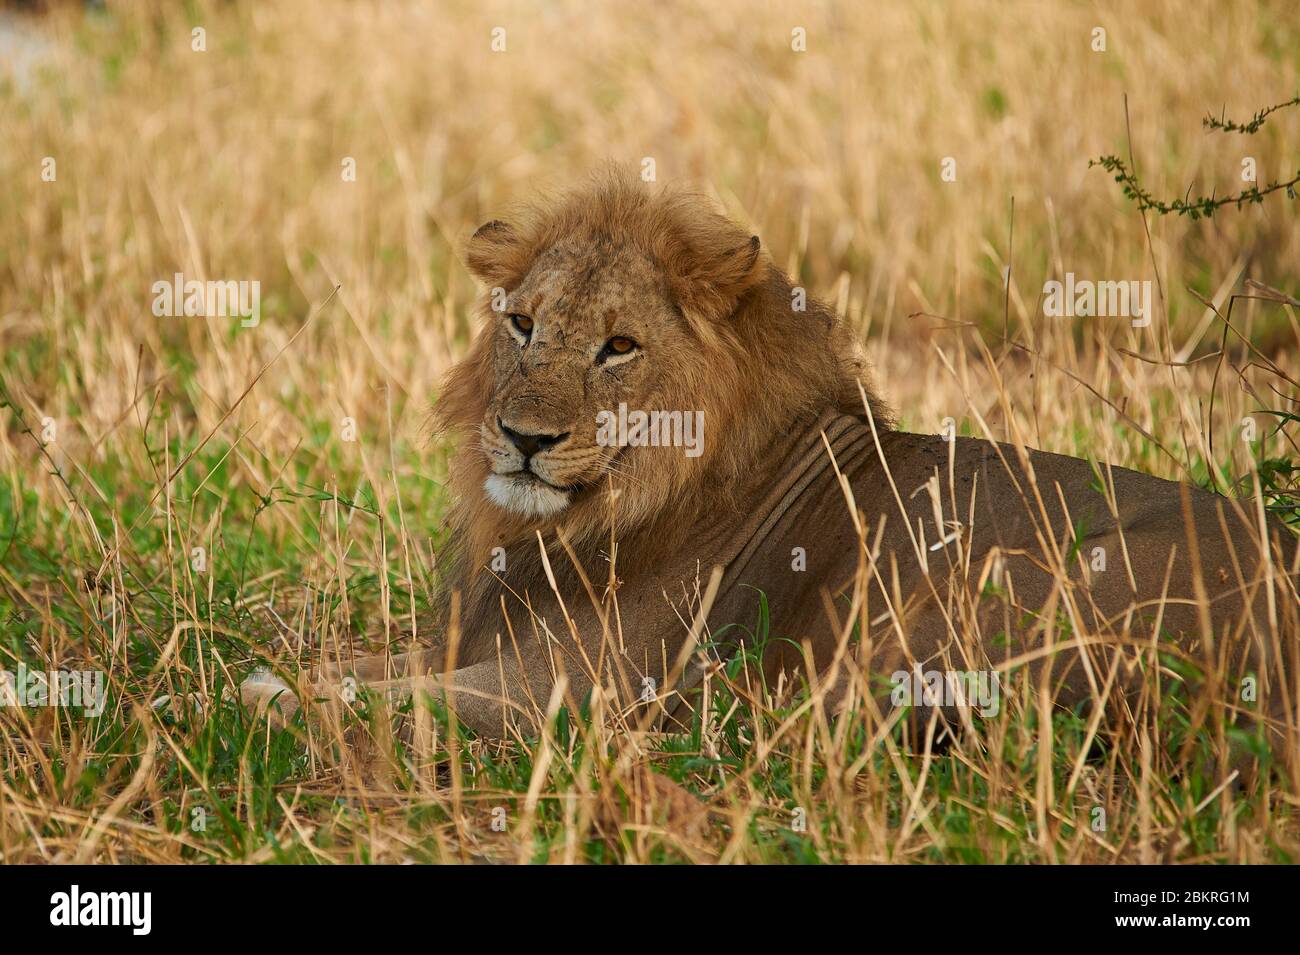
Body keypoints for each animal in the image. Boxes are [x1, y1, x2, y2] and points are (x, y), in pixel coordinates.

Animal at [240, 170, 1300, 772]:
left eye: (618, 346)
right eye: (523, 325)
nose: (522, 437)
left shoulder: (573, 685)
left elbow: (381, 700)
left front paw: (263, 697)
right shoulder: (475, 635)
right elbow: (364, 664)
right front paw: (287, 671)